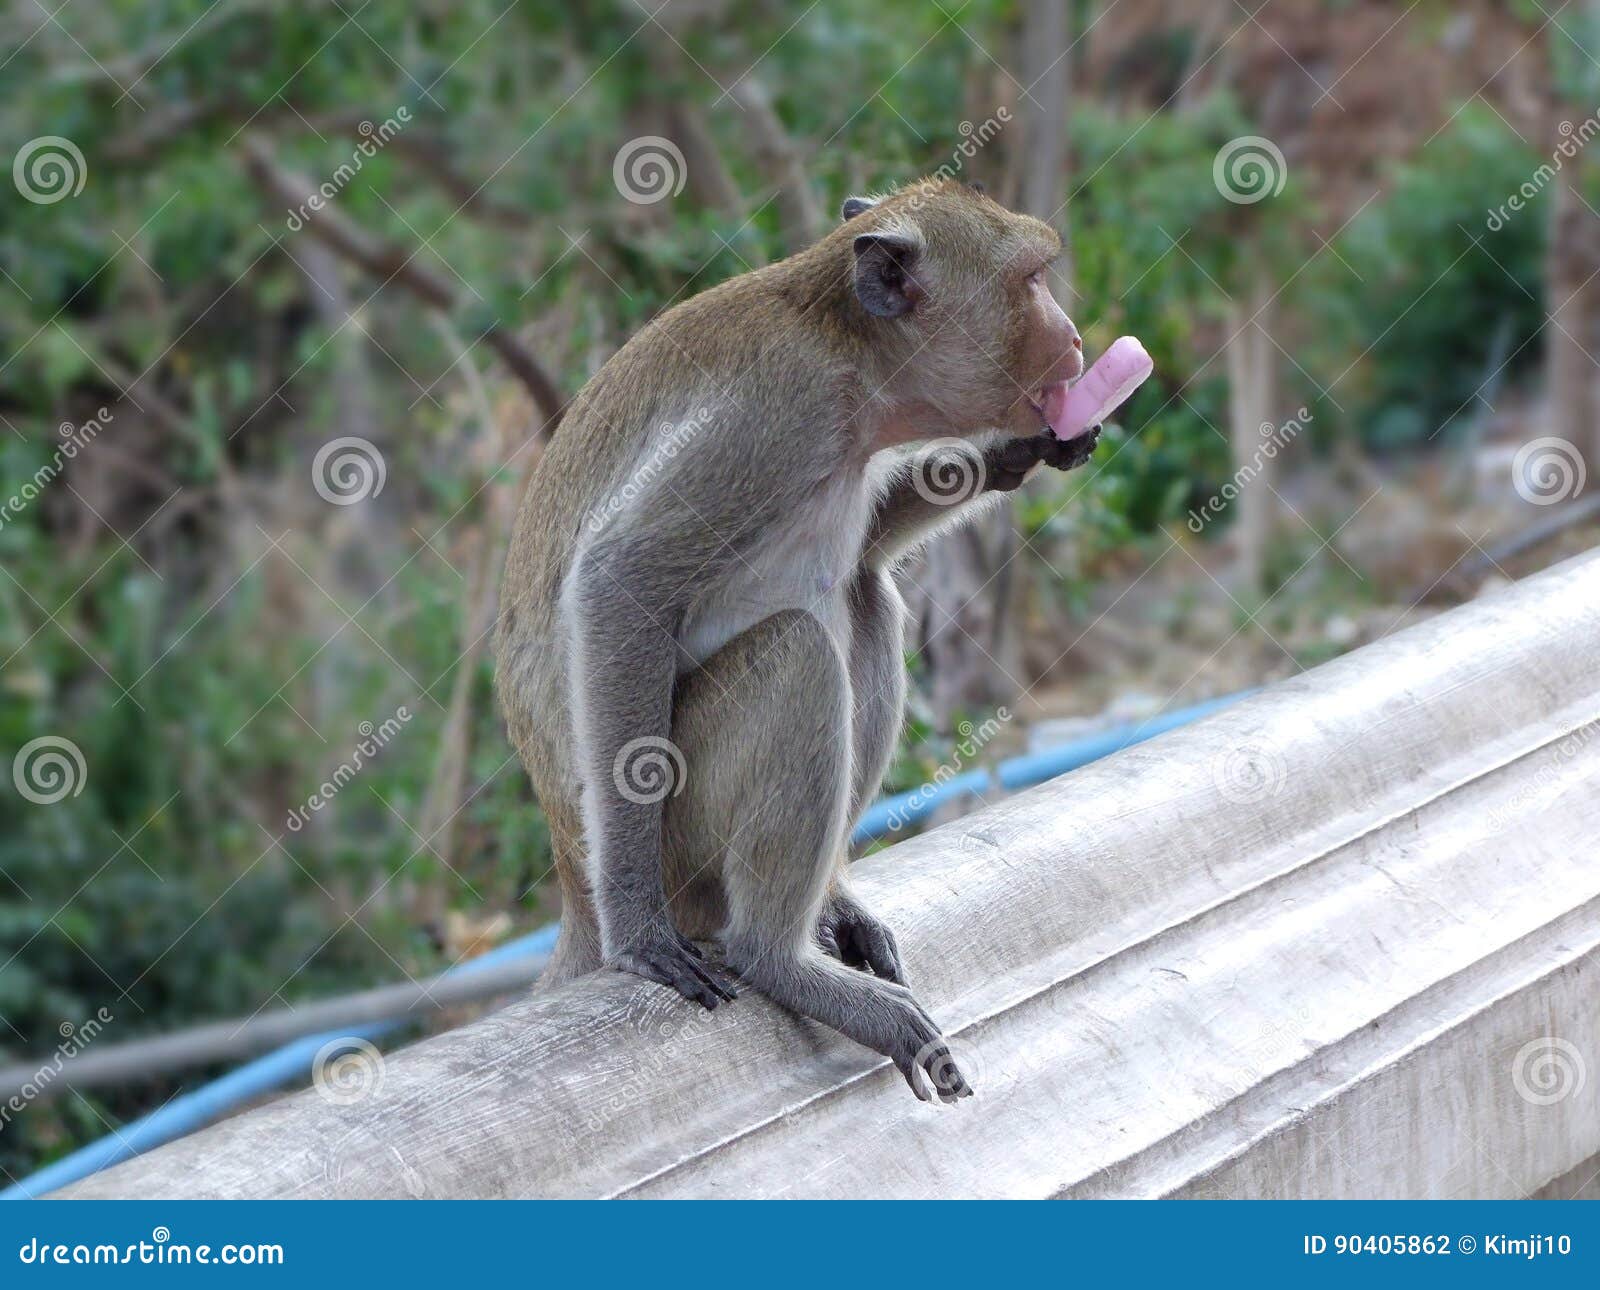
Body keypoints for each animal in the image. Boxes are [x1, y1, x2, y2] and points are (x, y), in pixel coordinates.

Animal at [494, 177, 1094, 1103]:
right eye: (1031, 280)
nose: (1071, 337)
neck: (851, 359)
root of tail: (568, 877)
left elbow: (870, 541)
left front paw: (1017, 447)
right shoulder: (776, 416)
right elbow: (621, 582)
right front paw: (640, 933)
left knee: (866, 596)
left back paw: (830, 902)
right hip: (685, 842)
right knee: (799, 652)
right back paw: (772, 957)